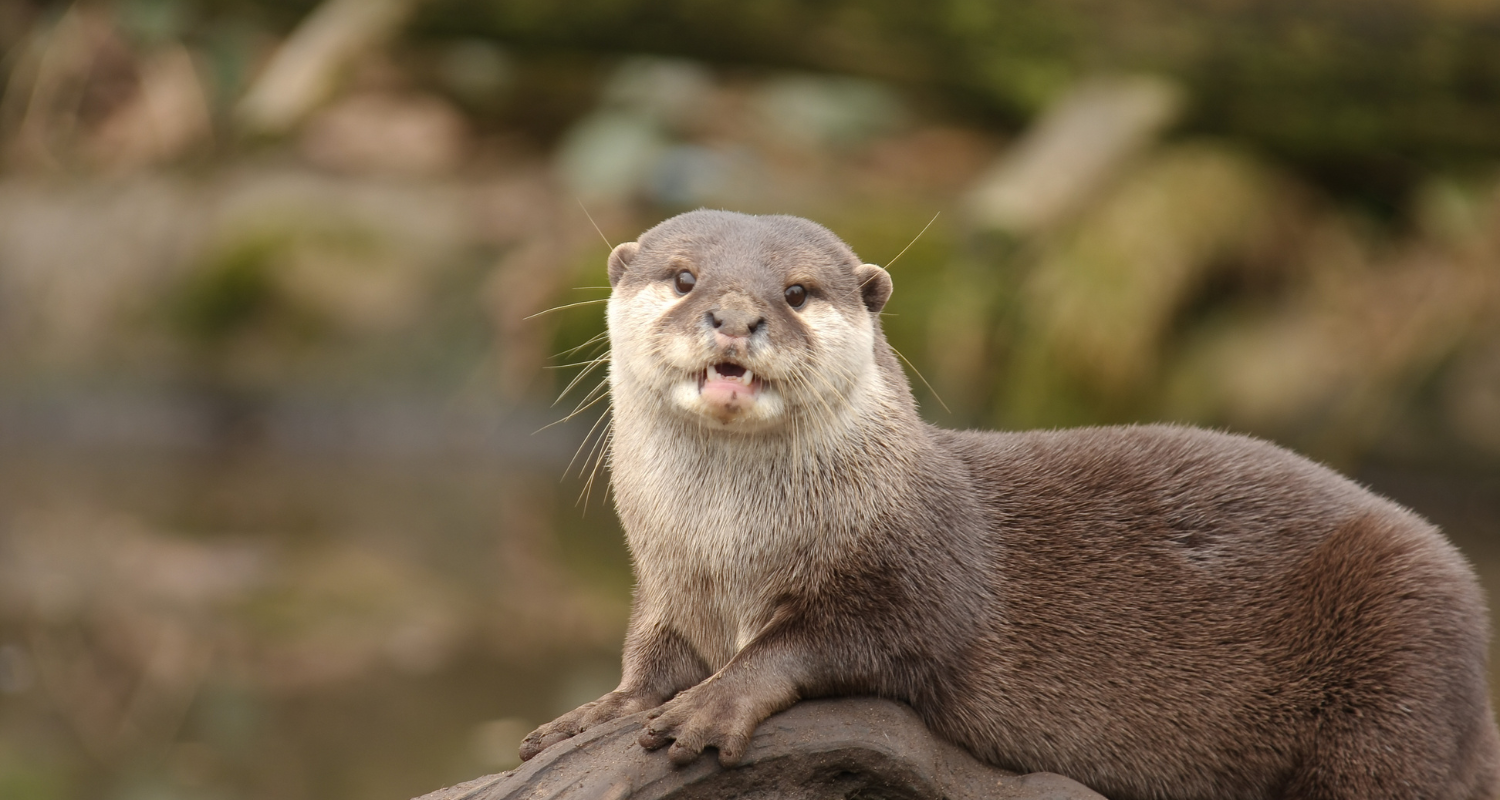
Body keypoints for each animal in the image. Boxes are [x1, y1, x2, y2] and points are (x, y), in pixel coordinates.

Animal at [519, 209, 1500, 800]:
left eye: (796, 291)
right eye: (683, 278)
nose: (734, 315)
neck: (729, 553)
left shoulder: (917, 577)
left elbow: (828, 643)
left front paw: (715, 702)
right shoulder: (664, 582)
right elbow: (648, 651)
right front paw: (597, 712)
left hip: (1400, 669)